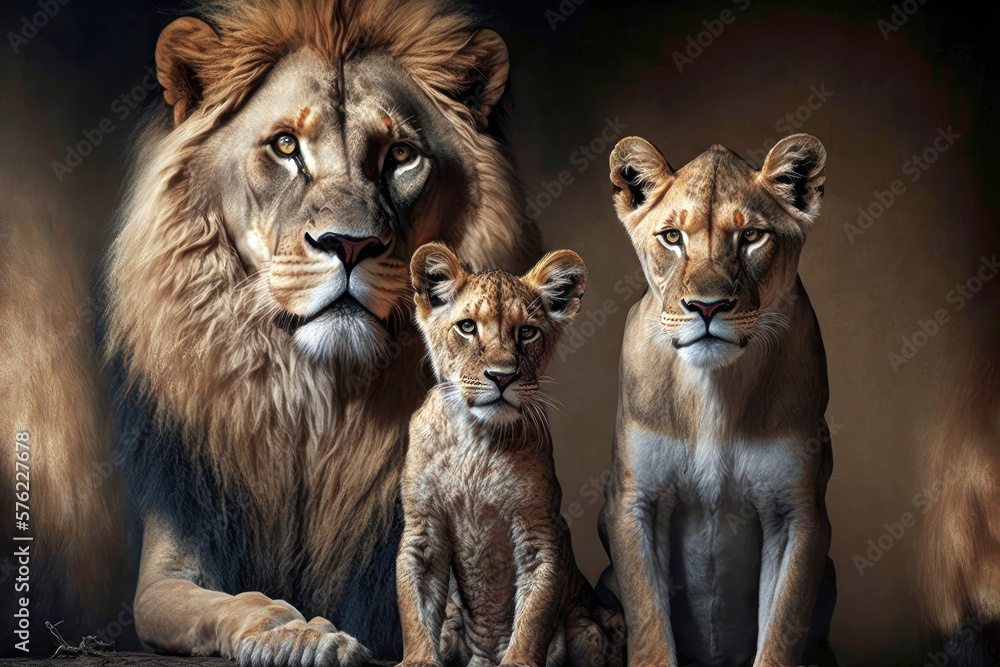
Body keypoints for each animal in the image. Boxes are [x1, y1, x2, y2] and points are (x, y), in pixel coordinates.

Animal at [94, 0, 541, 664]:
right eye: (286, 146)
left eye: (400, 155)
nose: (350, 244)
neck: (315, 399)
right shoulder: (168, 572)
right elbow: (223, 603)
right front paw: (292, 632)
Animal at [597, 135, 837, 666]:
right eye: (671, 237)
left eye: (751, 237)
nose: (707, 307)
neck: (712, 391)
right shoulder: (634, 501)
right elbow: (649, 628)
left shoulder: (797, 513)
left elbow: (781, 633)